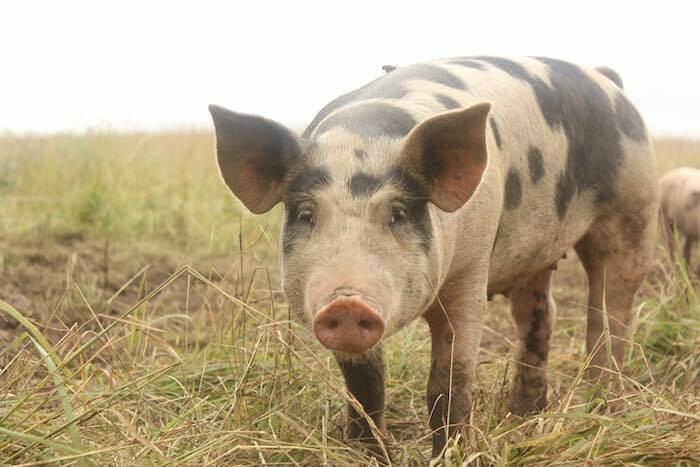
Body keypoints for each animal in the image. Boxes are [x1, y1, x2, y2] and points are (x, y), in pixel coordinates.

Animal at [208, 56, 658, 457]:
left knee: (610, 315)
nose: (347, 302)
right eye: (306, 214)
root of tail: (607, 80)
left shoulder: (471, 270)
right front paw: (369, 452)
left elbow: (448, 382)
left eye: (397, 213)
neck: (365, 133)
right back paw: (523, 415)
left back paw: (604, 408)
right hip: (535, 254)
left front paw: (449, 452)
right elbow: (365, 384)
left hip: (631, 212)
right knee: (539, 314)